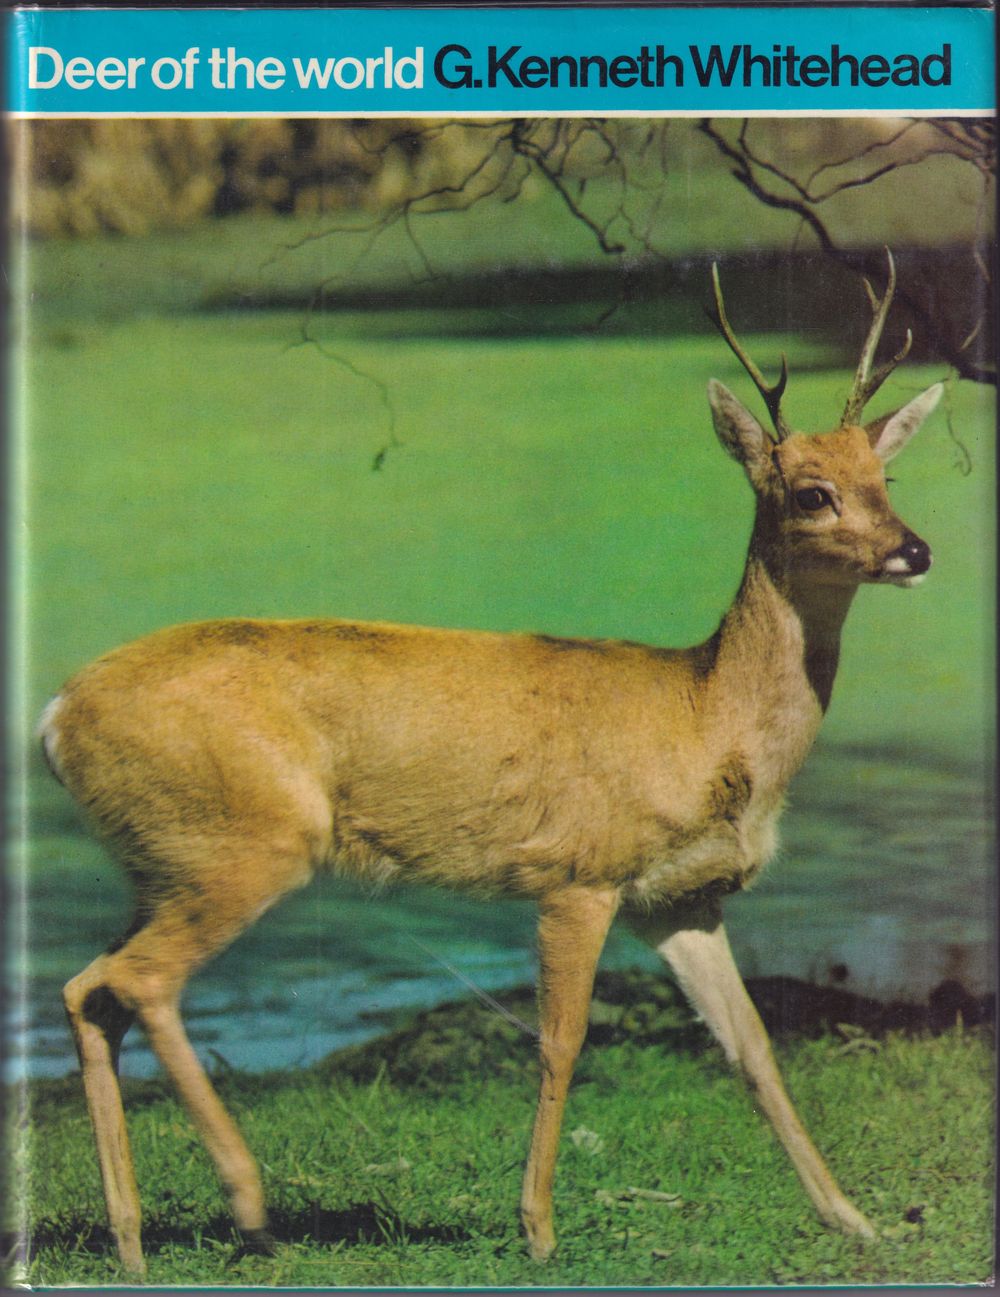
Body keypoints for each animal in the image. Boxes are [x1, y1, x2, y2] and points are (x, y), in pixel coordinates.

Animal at [42, 252, 941, 1278]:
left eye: (886, 474)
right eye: (809, 491)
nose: (915, 549)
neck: (704, 716)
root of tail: (56, 716)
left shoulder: (679, 899)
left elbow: (751, 1045)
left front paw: (853, 1217)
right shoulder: (578, 871)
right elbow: (560, 1040)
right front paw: (539, 1226)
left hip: (163, 859)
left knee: (88, 986)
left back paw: (131, 1238)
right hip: (246, 840)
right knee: (141, 980)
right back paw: (248, 1200)